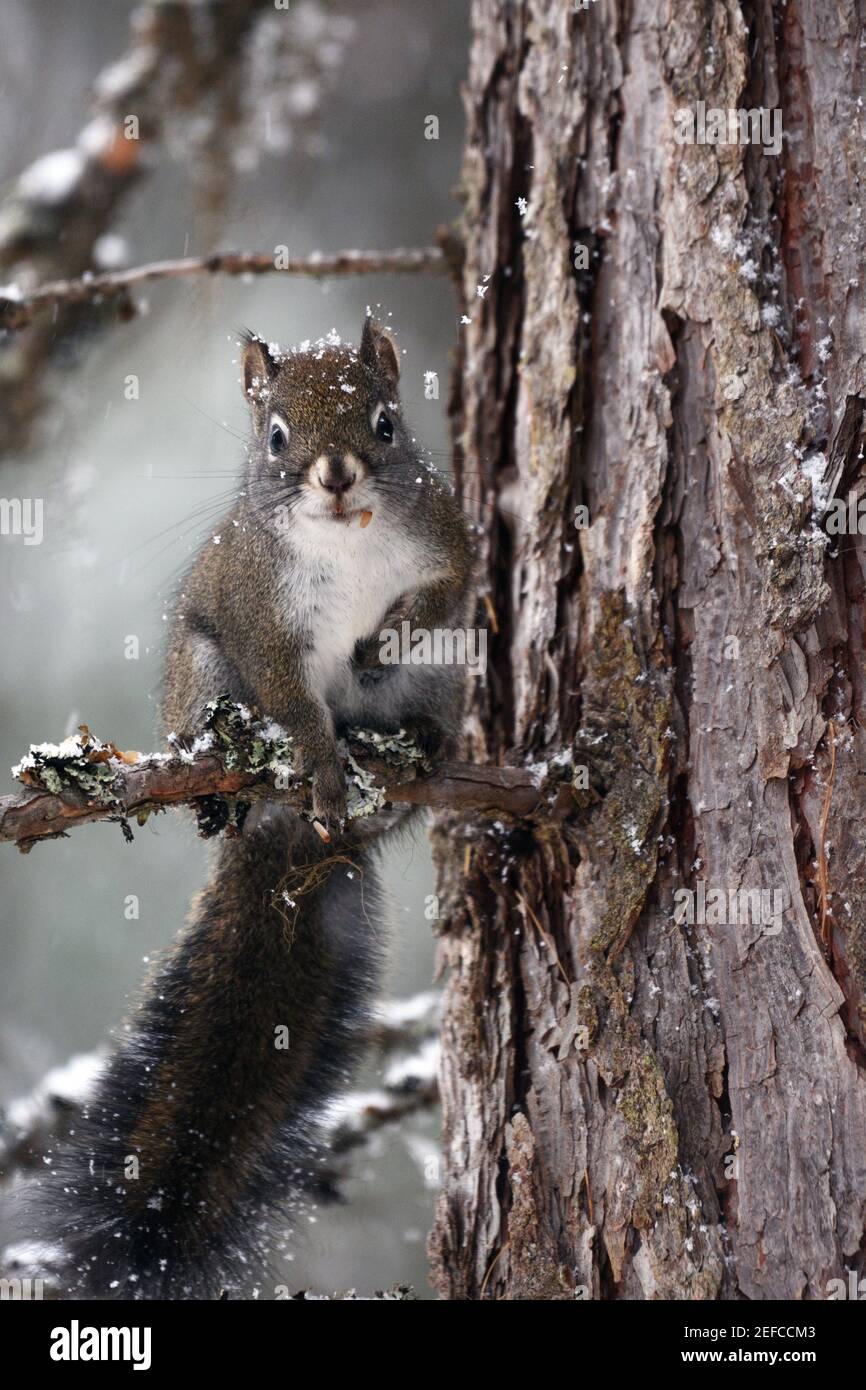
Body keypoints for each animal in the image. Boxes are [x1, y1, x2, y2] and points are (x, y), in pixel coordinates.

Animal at [35, 315, 475, 1299]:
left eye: (386, 422)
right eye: (275, 437)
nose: (336, 474)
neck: (348, 537)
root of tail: (292, 847)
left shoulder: (448, 540)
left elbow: (445, 593)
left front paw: (383, 638)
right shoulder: (263, 618)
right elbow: (295, 702)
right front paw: (319, 762)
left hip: (452, 675)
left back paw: (425, 745)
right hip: (205, 680)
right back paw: (238, 797)